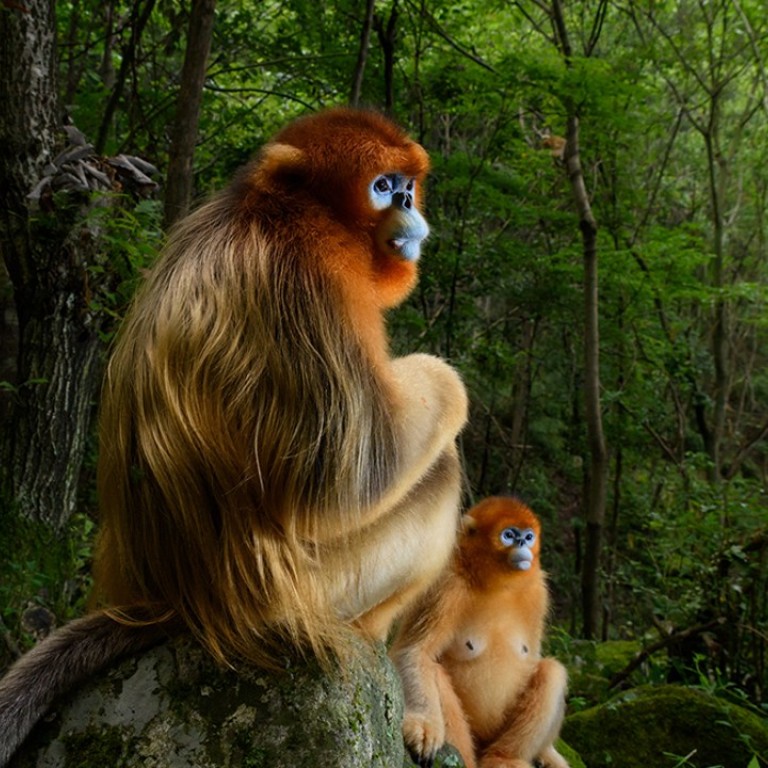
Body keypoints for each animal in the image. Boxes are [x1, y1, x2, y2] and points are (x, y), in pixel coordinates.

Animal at [0, 107, 468, 767]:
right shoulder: (312, 277)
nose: (404, 198)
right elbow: (354, 477)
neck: (272, 211)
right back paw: (369, 635)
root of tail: (171, 603)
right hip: (313, 590)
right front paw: (447, 381)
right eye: (381, 186)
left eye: (405, 183)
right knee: (437, 469)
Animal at [392, 496, 569, 768]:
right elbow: (413, 652)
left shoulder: (538, 591)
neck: (495, 585)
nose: (522, 543)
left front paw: (548, 752)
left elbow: (534, 658)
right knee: (434, 671)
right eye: (509, 535)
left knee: (552, 671)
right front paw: (424, 726)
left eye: (529, 536)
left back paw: (504, 758)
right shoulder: (446, 585)